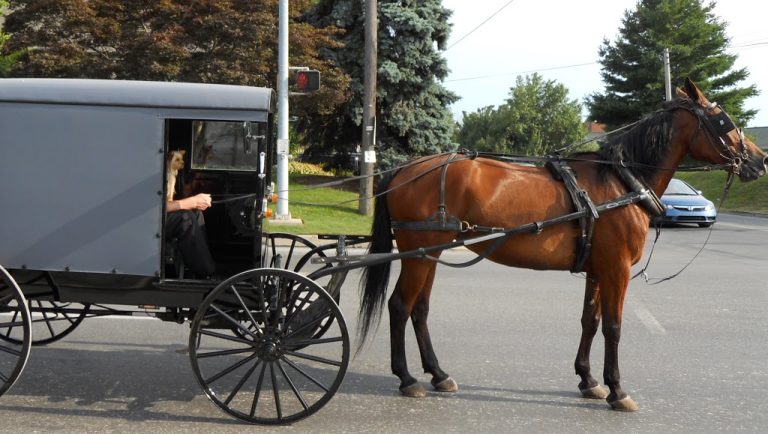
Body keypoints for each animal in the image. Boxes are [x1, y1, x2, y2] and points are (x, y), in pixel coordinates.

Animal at [358, 78, 767, 411]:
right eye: (724, 121)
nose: (760, 160)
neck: (621, 182)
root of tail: (405, 168)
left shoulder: (598, 269)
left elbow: (590, 321)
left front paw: (589, 380)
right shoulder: (618, 270)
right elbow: (614, 327)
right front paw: (618, 390)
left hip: (430, 253)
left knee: (419, 310)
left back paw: (438, 374)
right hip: (421, 253)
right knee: (400, 306)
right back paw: (407, 378)